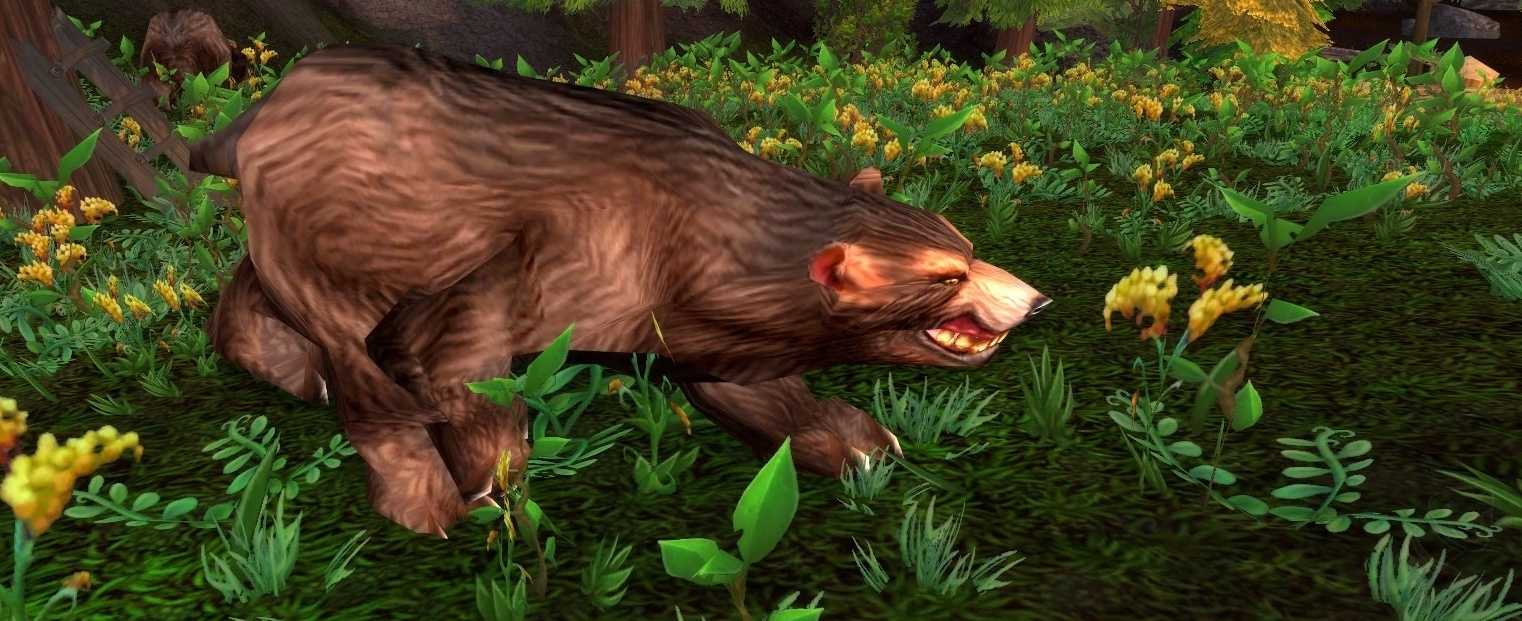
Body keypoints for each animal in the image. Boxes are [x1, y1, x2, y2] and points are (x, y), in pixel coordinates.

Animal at [188, 43, 1050, 537]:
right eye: (947, 275)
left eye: (968, 248)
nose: (1035, 298)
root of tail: (258, 113)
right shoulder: (540, 253)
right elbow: (451, 361)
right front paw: (495, 485)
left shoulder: (697, 316)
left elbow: (749, 389)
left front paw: (857, 441)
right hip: (331, 242)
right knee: (358, 360)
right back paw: (418, 492)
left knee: (249, 294)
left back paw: (283, 362)